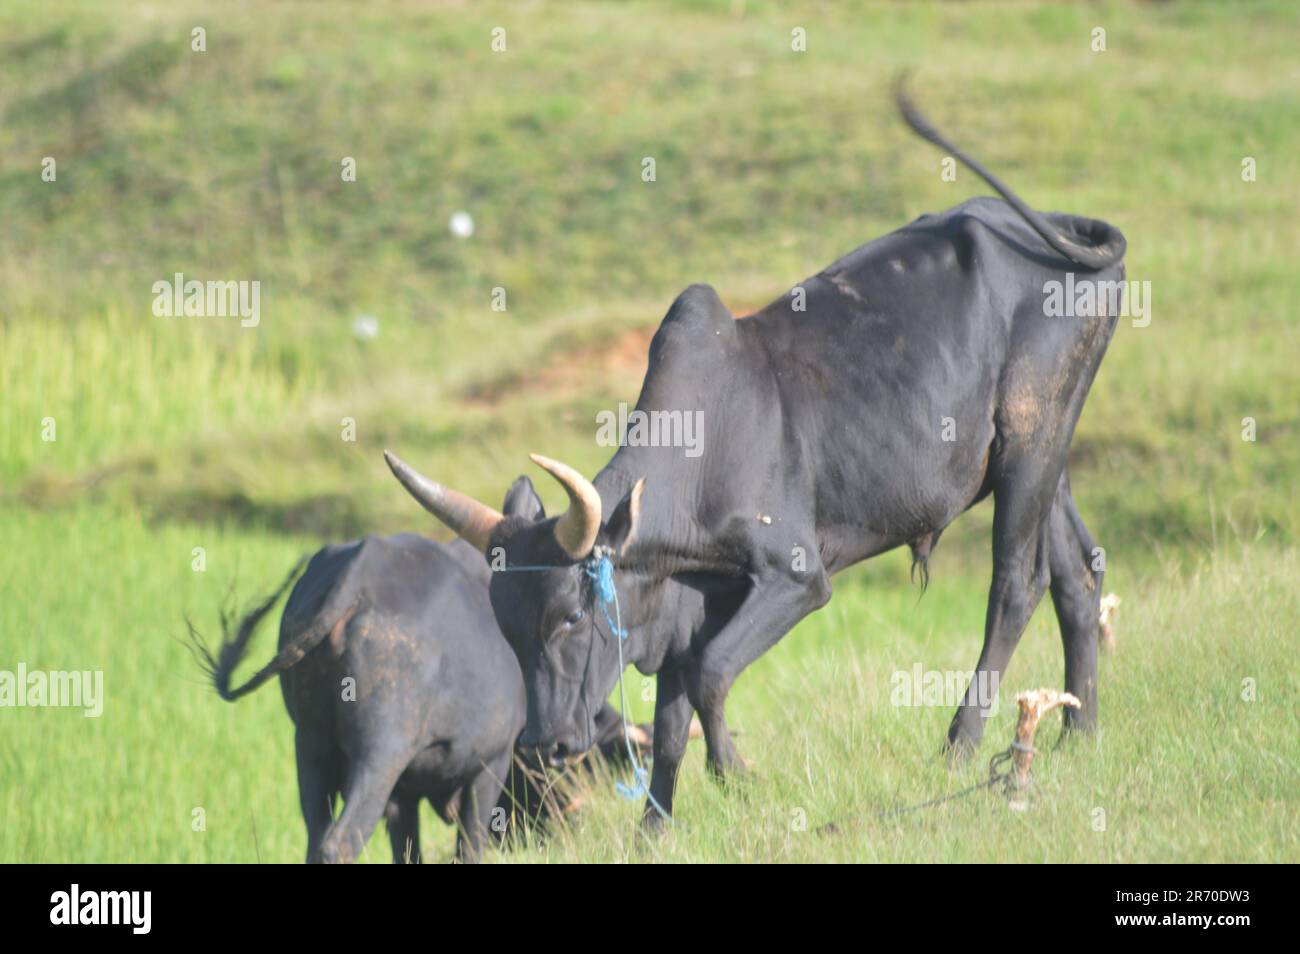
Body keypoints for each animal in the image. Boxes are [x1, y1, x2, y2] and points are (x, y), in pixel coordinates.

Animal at [189, 534, 655, 862]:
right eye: (581, 764)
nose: (573, 824)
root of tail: (362, 571)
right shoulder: (489, 766)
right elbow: (469, 848)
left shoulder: (404, 794)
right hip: (379, 756)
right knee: (339, 843)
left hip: (310, 746)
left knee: (316, 839)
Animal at [382, 84, 1125, 826]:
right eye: (506, 626)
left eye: (570, 614)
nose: (547, 743)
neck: (694, 460)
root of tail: (1058, 228)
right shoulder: (692, 606)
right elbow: (674, 719)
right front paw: (655, 827)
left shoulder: (795, 577)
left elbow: (710, 675)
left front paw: (738, 775)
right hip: (1043, 456)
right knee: (1078, 572)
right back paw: (1077, 734)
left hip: (1030, 447)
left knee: (1015, 585)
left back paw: (961, 745)